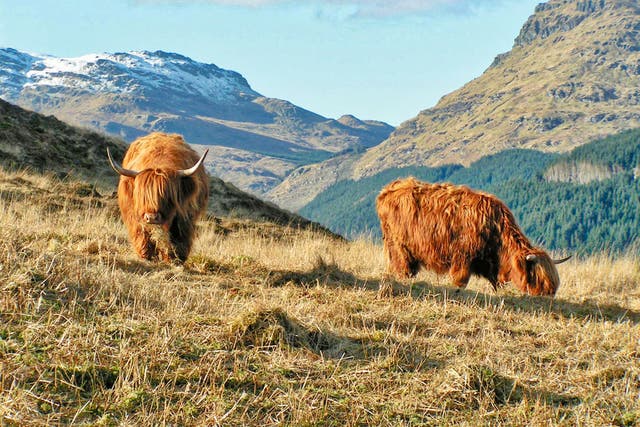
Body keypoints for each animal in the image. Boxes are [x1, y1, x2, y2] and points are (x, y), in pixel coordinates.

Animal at [107, 132, 209, 263]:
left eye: (167, 197)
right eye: (142, 196)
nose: (152, 218)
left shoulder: (185, 217)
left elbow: (178, 238)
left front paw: (175, 259)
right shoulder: (135, 215)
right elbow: (142, 233)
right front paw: (146, 255)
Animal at [376, 177, 570, 296]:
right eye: (537, 277)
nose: (549, 295)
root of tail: (389, 189)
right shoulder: (462, 258)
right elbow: (460, 281)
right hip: (399, 247)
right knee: (403, 268)